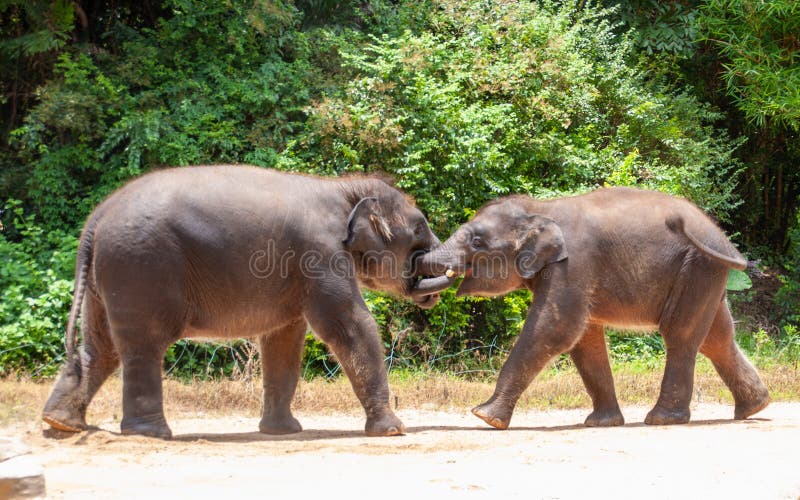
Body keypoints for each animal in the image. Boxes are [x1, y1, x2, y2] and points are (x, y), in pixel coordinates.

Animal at [42, 165, 453, 439]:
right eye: (419, 229)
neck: (344, 187)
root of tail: (95, 220)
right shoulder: (320, 253)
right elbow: (350, 324)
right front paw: (394, 431)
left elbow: (284, 341)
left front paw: (283, 431)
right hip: (140, 268)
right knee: (142, 346)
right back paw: (149, 435)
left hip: (109, 276)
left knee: (100, 349)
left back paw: (61, 423)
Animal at [415, 187, 770, 429]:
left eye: (476, 241)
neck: (540, 209)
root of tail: (721, 237)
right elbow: (584, 340)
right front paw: (601, 423)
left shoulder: (573, 266)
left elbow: (555, 329)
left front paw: (485, 417)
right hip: (705, 272)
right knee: (717, 339)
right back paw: (755, 408)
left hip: (697, 267)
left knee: (681, 335)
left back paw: (662, 419)